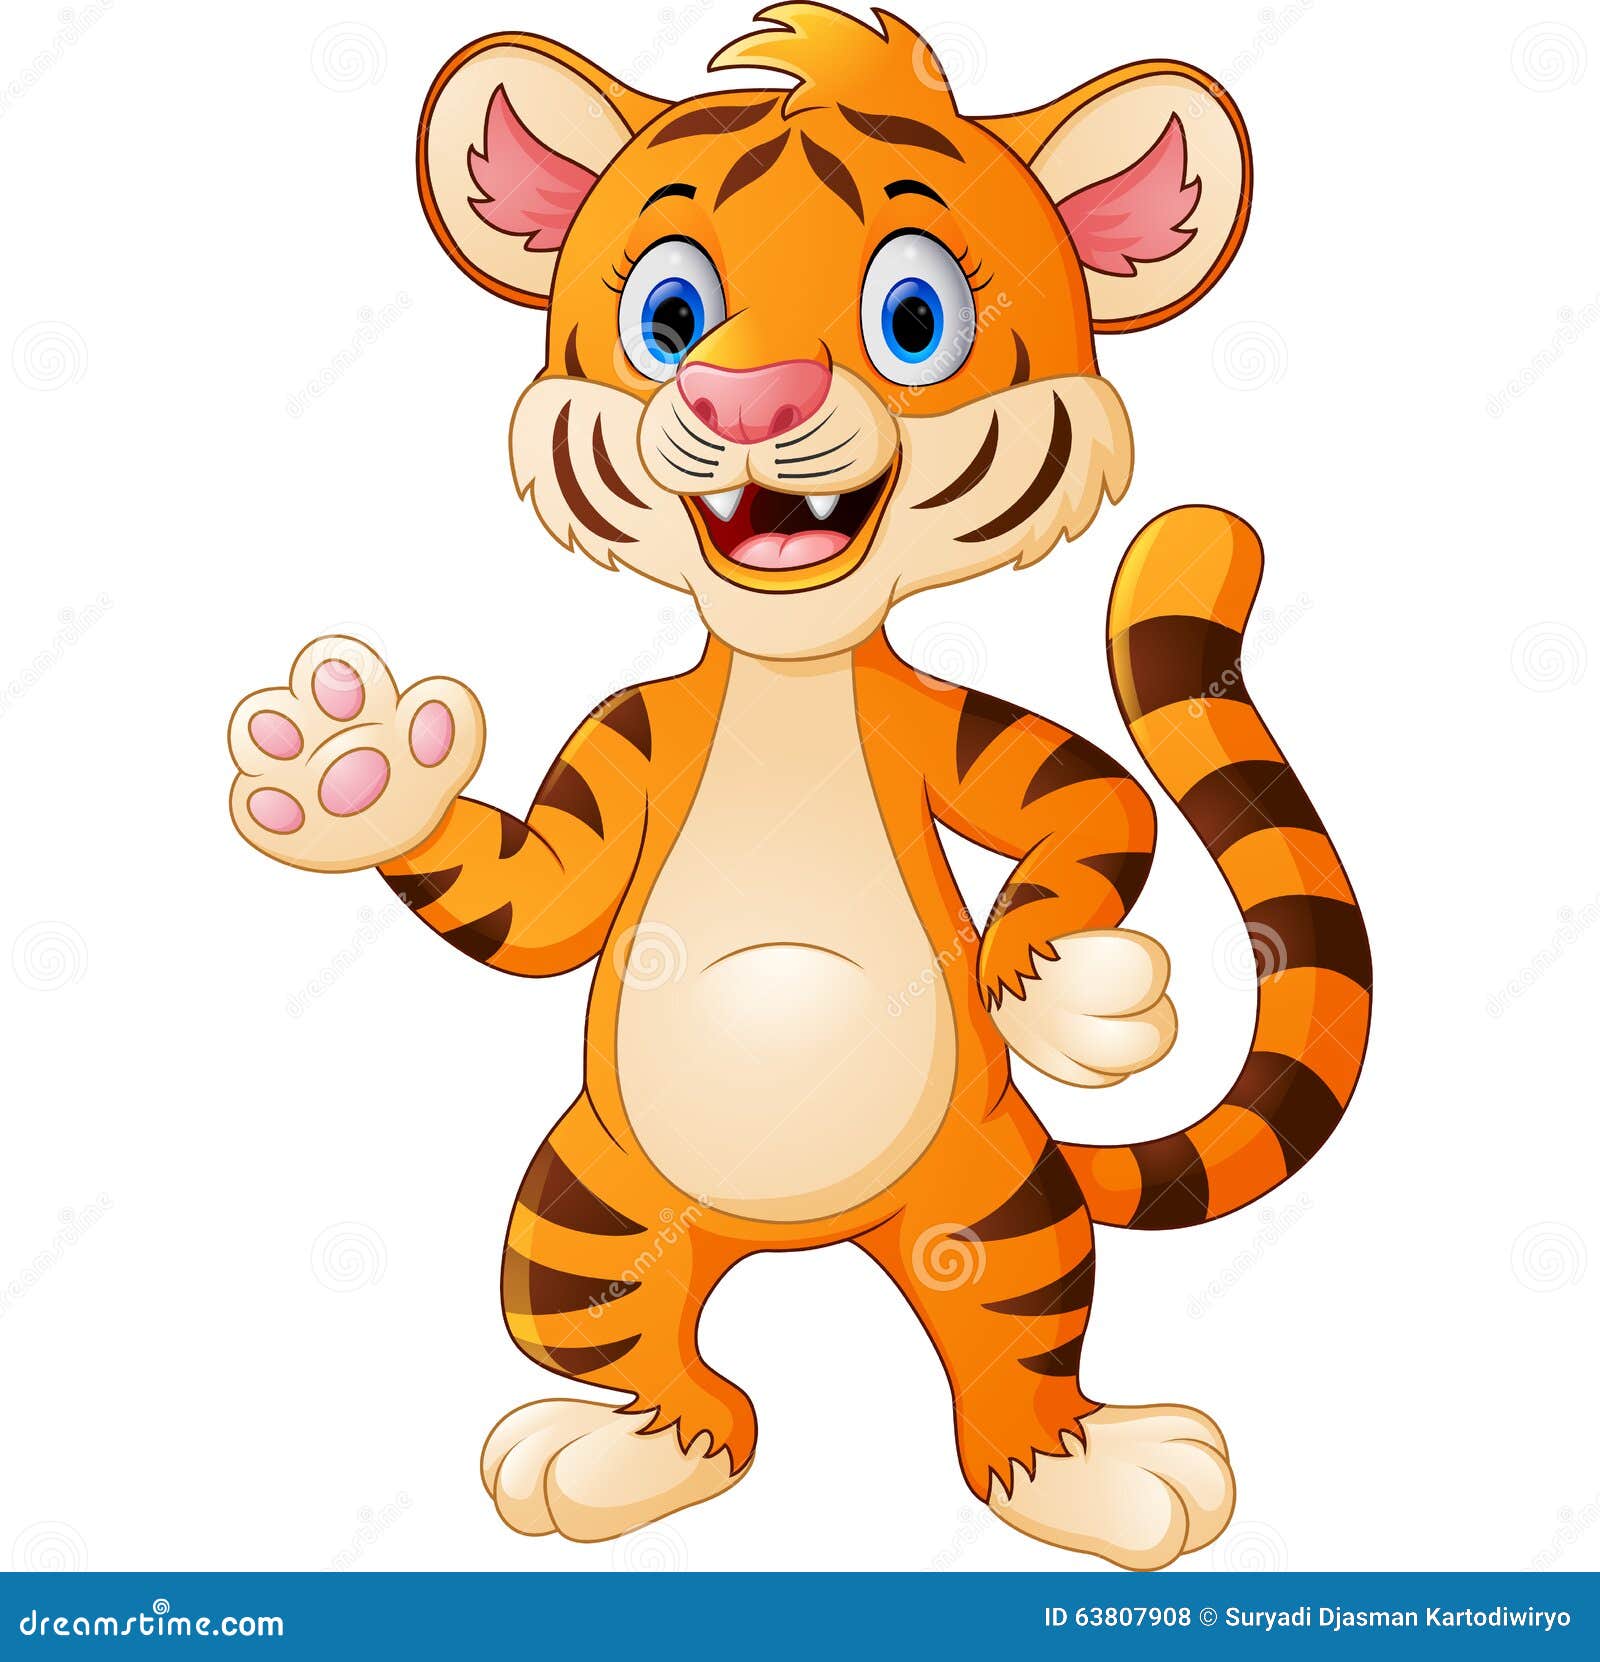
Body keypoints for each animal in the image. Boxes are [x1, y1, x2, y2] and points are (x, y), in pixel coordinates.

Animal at [226, 5, 1371, 1569]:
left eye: (914, 319)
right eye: (669, 314)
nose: (743, 395)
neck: (786, 672)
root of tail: (799, 1237)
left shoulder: (941, 730)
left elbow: (1095, 807)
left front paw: (1067, 995)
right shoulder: (632, 735)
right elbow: (541, 910)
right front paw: (360, 780)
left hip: (994, 1205)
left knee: (1014, 1355)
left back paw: (1081, 1467)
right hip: (594, 1208)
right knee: (635, 1348)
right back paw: (633, 1448)